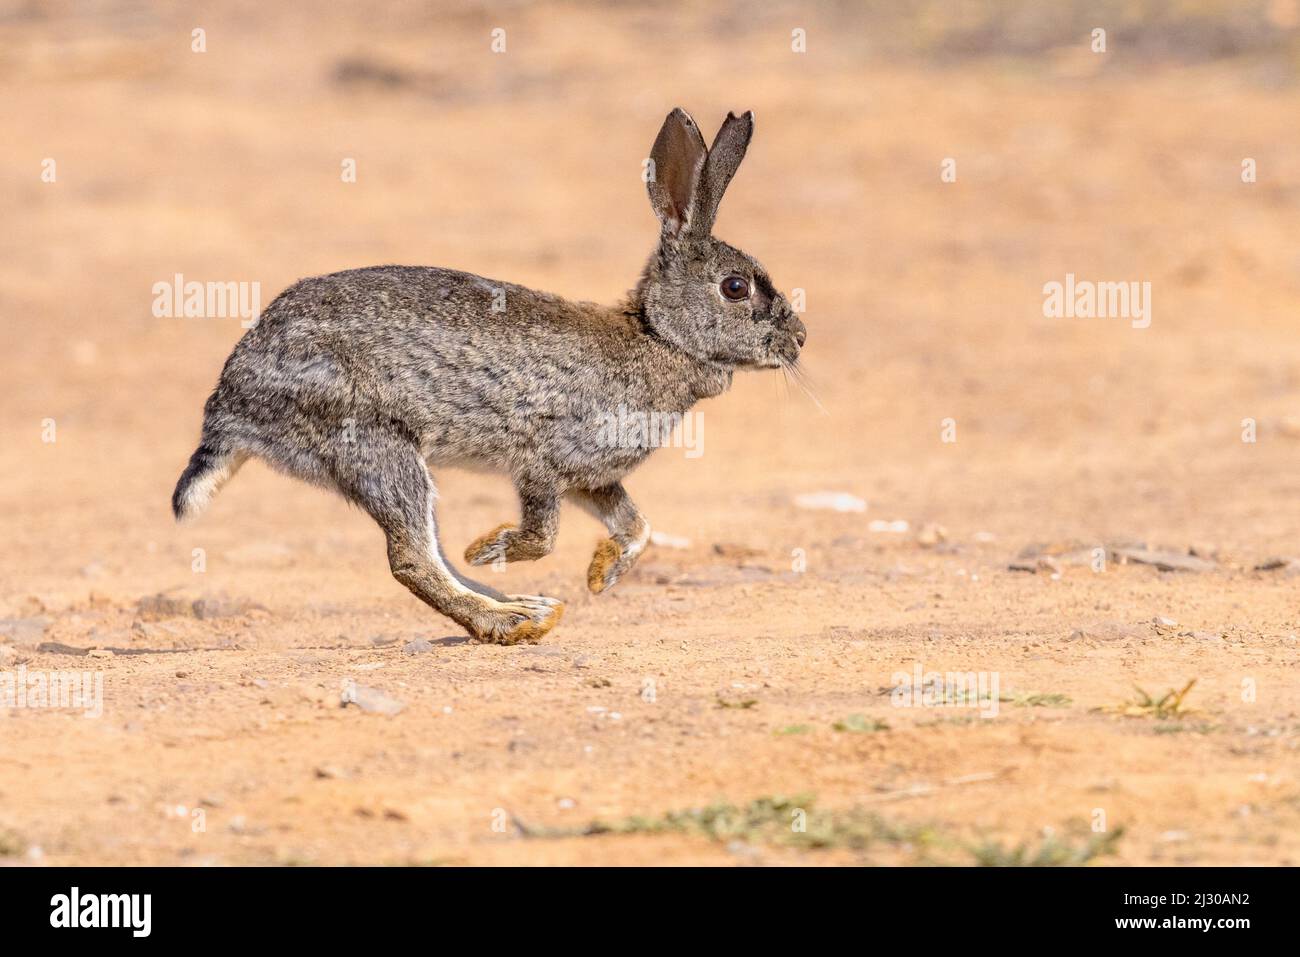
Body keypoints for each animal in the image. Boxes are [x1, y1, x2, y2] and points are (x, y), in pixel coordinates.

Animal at [172, 107, 807, 645]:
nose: (800, 338)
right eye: (735, 288)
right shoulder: (546, 461)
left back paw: (527, 608)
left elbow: (638, 526)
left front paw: (600, 577)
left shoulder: (594, 480)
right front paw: (492, 546)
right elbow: (543, 534)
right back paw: (509, 621)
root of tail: (230, 408)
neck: (657, 336)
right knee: (412, 560)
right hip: (375, 444)